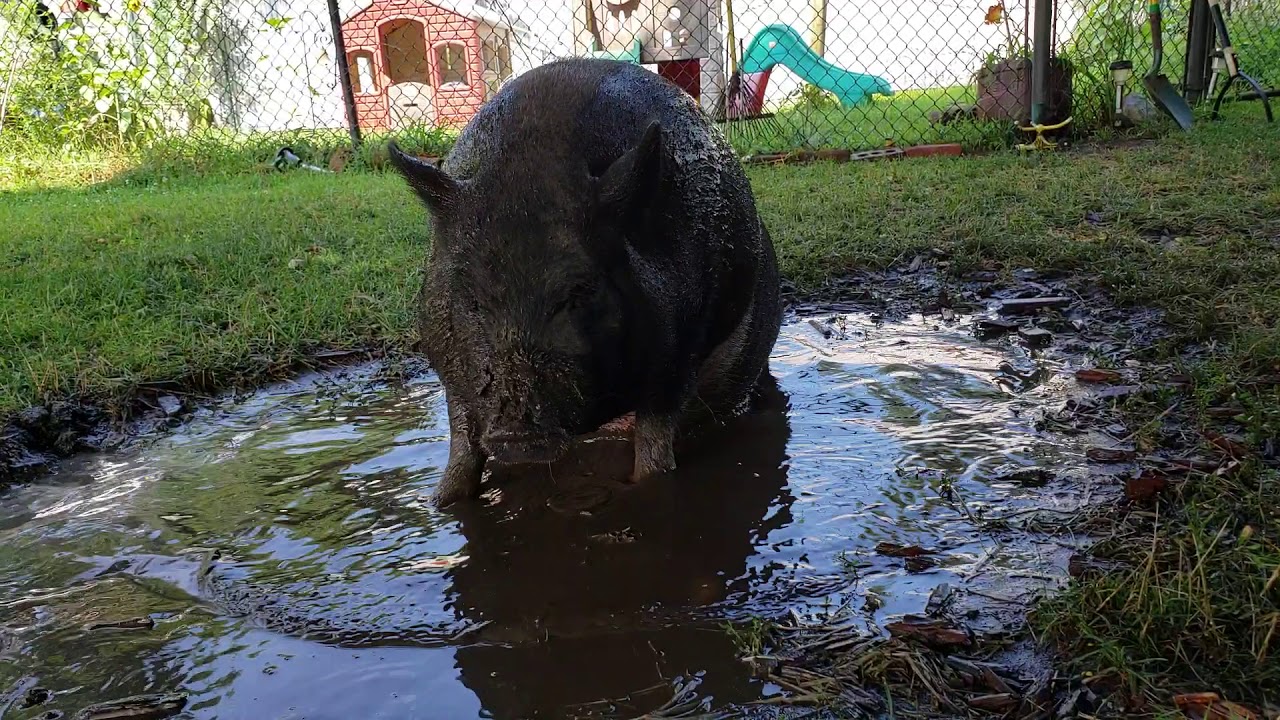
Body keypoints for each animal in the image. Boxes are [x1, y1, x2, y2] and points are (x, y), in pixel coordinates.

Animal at [388, 57, 782, 508]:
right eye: (472, 300)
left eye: (579, 293)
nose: (514, 432)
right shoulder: (448, 365)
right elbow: (461, 450)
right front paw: (439, 503)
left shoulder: (680, 344)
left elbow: (653, 453)